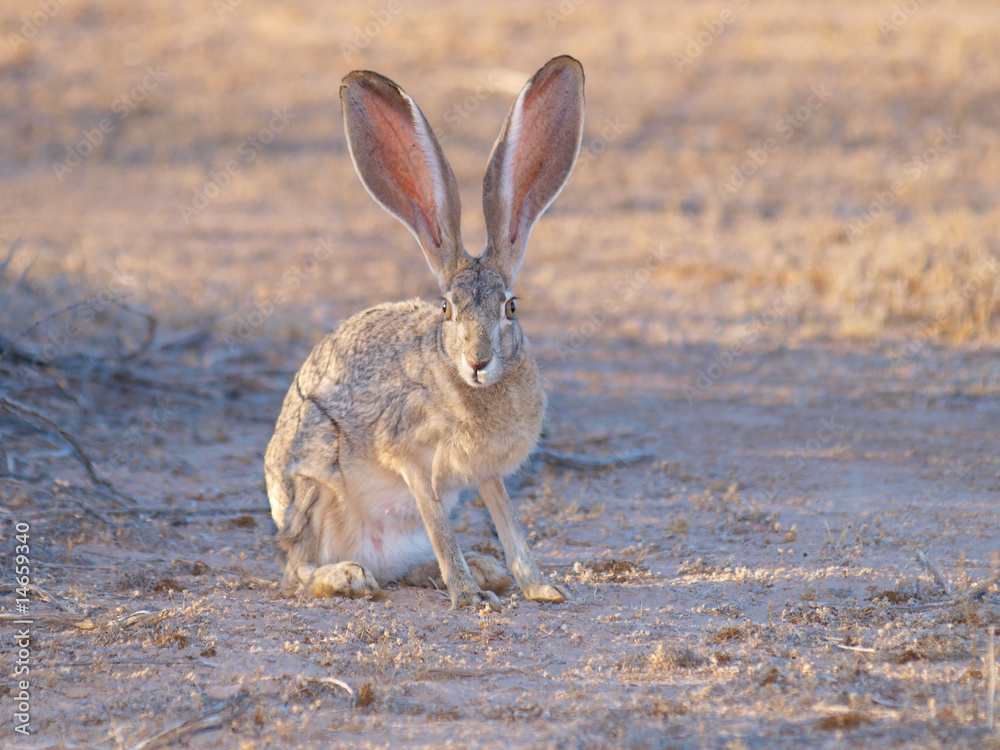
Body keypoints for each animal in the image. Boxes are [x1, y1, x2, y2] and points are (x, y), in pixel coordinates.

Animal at [264, 55, 584, 611]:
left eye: (511, 307)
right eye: (447, 308)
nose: (478, 360)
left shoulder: (487, 471)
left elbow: (510, 523)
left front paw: (541, 587)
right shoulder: (410, 456)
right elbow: (441, 528)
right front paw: (468, 596)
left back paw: (485, 568)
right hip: (314, 483)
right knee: (295, 572)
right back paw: (348, 576)